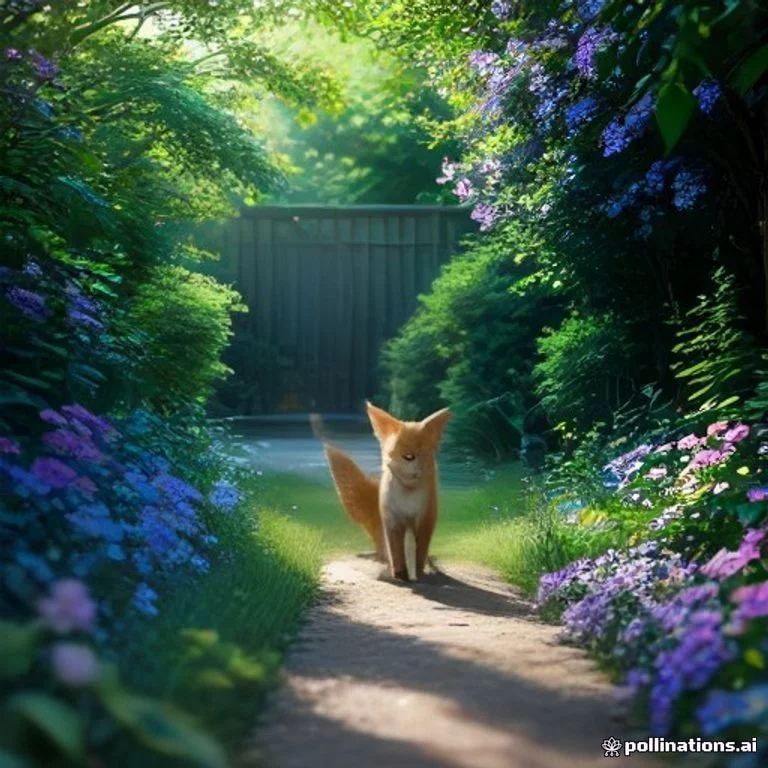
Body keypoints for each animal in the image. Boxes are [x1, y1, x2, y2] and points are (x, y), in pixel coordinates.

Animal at [317, 402, 451, 582]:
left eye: (428, 456)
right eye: (408, 456)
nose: (420, 471)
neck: (407, 496)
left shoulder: (425, 518)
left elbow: (421, 552)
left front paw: (419, 574)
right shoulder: (392, 520)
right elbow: (396, 553)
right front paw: (400, 574)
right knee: (384, 551)